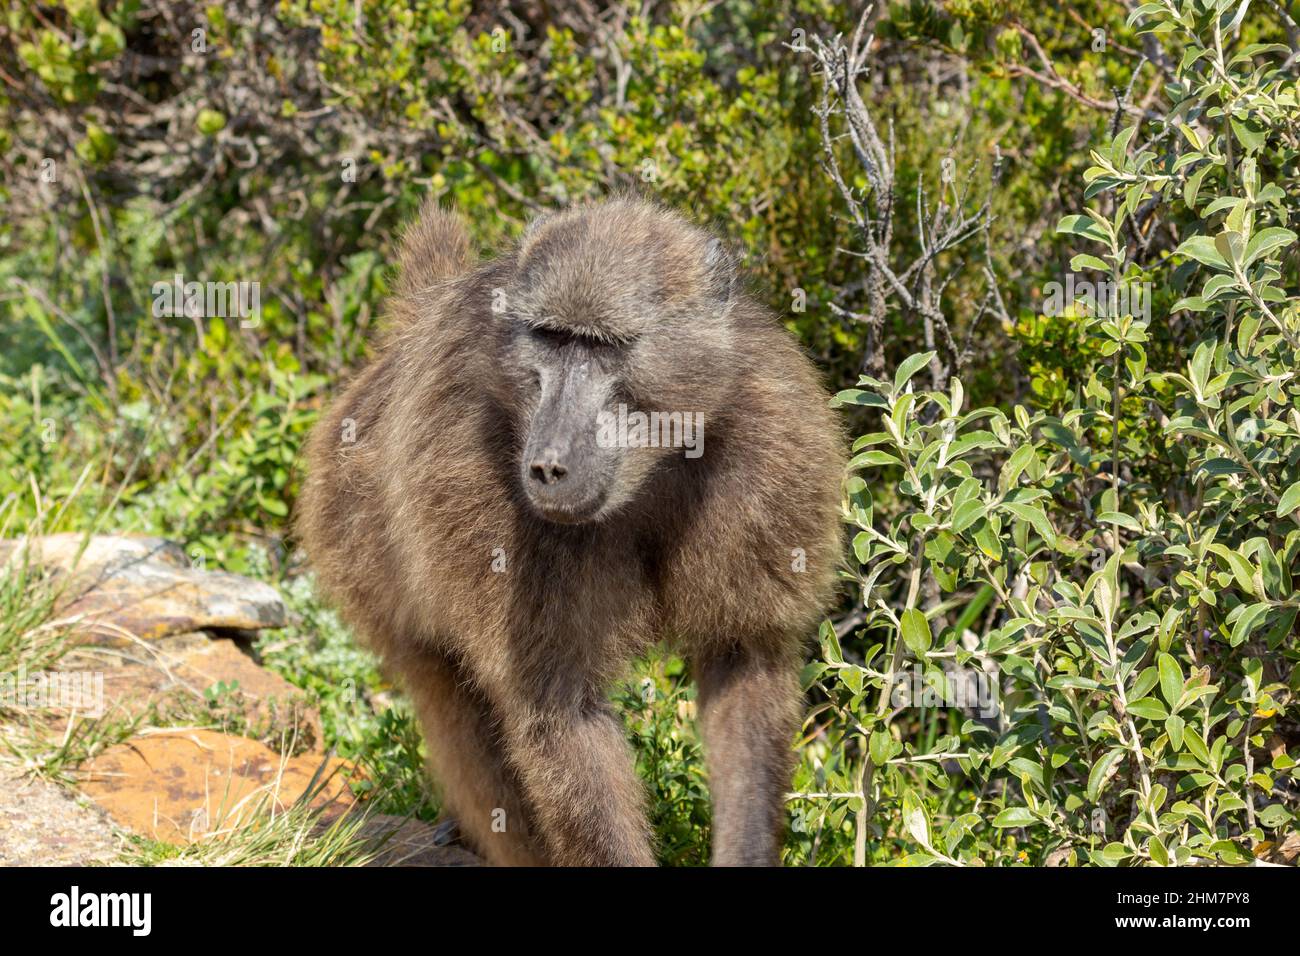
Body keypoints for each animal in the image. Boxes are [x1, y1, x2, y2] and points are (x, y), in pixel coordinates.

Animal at [297, 196, 845, 866]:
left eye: (604, 346)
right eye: (551, 338)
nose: (547, 466)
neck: (647, 474)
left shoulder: (772, 454)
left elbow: (743, 661)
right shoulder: (481, 497)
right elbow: (559, 712)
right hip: (355, 535)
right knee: (458, 705)